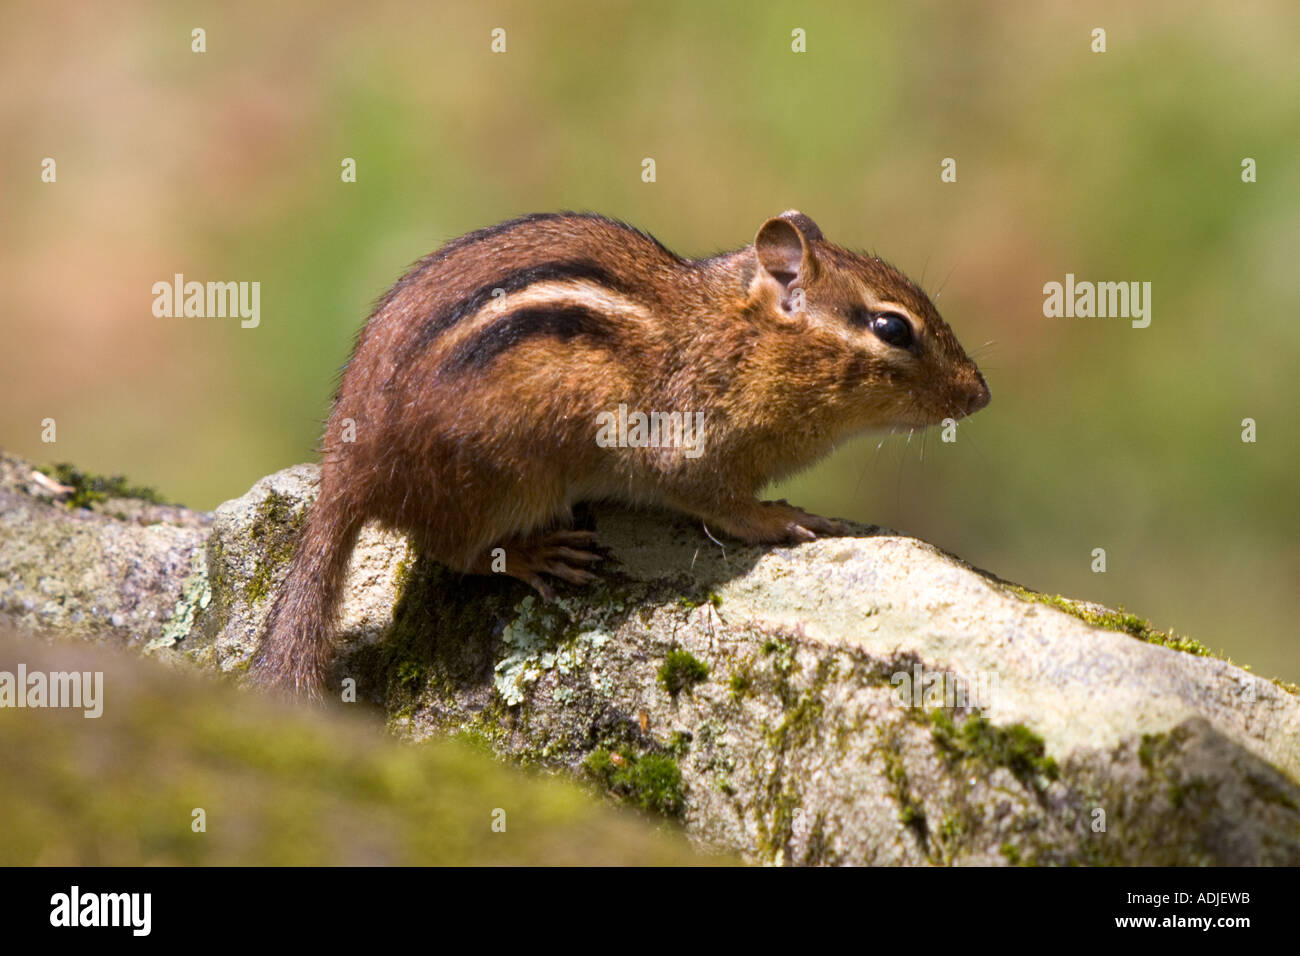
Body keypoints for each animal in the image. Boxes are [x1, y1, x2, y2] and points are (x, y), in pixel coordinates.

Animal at [252, 210, 990, 695]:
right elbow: (721, 505)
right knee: (450, 548)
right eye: (893, 328)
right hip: (507, 475)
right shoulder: (686, 442)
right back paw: (535, 553)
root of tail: (346, 469)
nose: (980, 394)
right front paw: (785, 519)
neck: (740, 338)